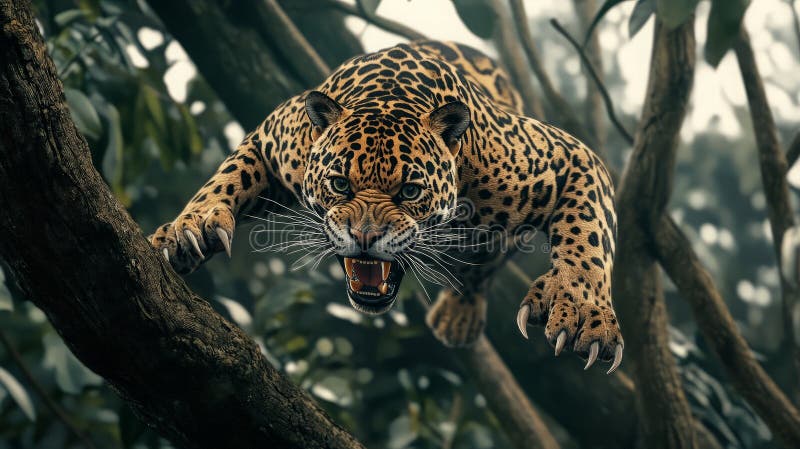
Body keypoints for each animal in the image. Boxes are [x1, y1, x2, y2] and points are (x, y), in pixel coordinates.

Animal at [149, 41, 623, 373]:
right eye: (340, 184)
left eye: (410, 192)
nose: (365, 236)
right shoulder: (273, 137)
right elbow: (227, 176)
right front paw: (189, 229)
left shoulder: (570, 157)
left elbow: (587, 236)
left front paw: (581, 311)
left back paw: (460, 313)